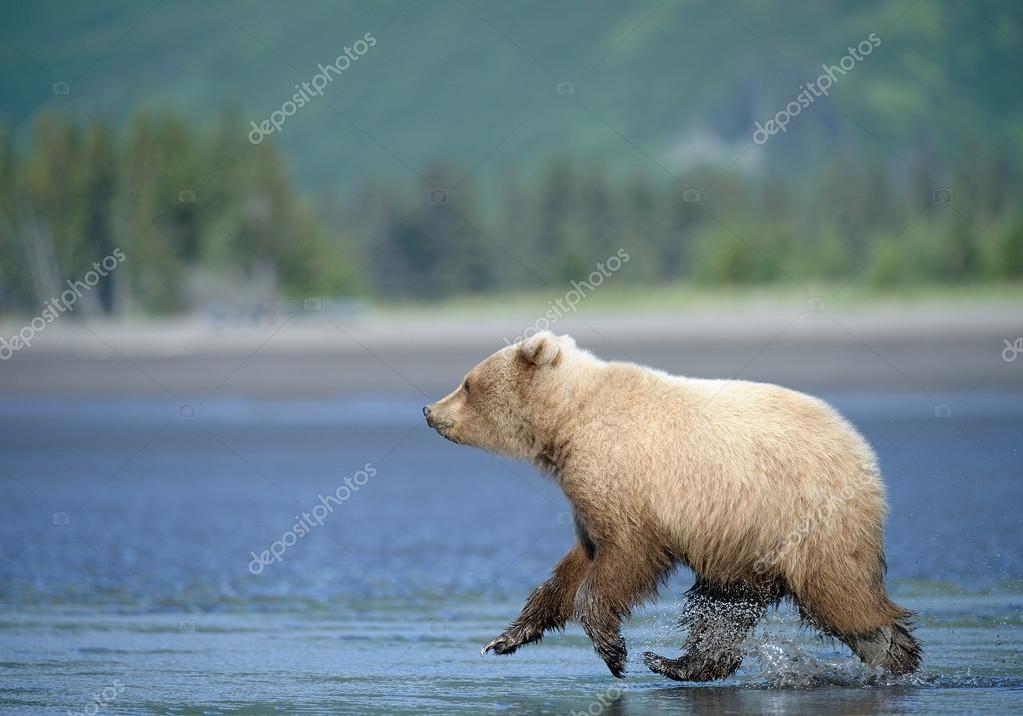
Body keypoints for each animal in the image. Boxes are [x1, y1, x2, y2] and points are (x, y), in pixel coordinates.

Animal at [423, 331, 921, 681]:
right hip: (745, 543)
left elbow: (622, 558)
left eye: (467, 383)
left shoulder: (628, 480)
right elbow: (575, 565)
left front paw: (614, 651)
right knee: (723, 606)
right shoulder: (585, 493)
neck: (568, 424)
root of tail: (862, 450)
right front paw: (506, 637)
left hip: (806, 519)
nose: (429, 410)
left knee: (840, 596)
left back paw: (892, 653)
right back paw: (678, 663)